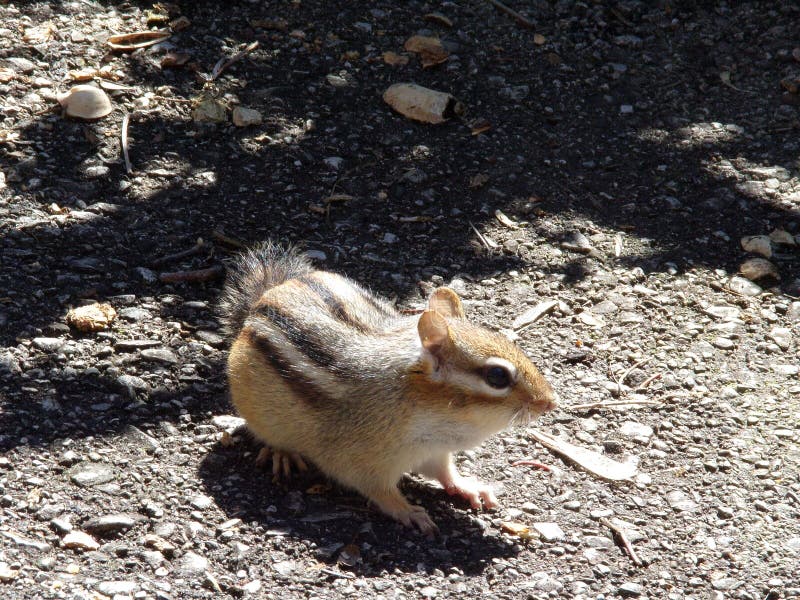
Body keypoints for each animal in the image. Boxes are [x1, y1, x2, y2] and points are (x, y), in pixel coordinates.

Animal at [219, 243, 557, 534]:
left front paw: (466, 485)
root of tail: (265, 296)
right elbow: (379, 491)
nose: (550, 402)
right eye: (498, 376)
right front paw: (409, 511)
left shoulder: (435, 451)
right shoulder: (361, 459)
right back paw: (283, 453)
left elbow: (445, 472)